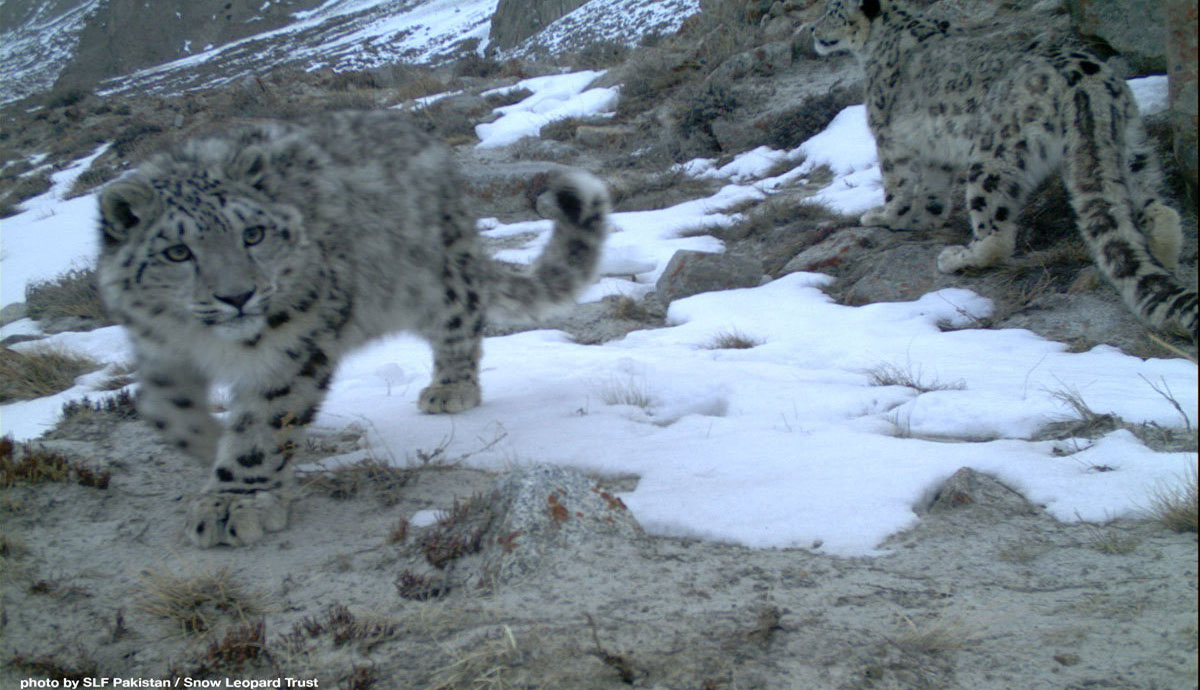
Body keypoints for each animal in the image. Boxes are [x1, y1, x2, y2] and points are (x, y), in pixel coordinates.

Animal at [97, 110, 611, 547]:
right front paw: (208, 445)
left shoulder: (293, 341)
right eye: (177, 252)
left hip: (428, 283)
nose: (238, 296)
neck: (206, 341)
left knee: (461, 320)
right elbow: (162, 405)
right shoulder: (157, 347)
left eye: (253, 235)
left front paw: (234, 500)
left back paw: (450, 388)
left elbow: (266, 417)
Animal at [812, 0, 1196, 339]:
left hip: (994, 154)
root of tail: (1085, 79)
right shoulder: (935, 150)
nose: (813, 30)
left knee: (997, 231)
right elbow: (934, 191)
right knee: (1158, 208)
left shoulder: (889, 136)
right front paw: (921, 219)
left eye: (832, 11)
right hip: (1131, 145)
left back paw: (959, 257)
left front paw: (884, 215)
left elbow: (898, 183)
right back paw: (1162, 255)